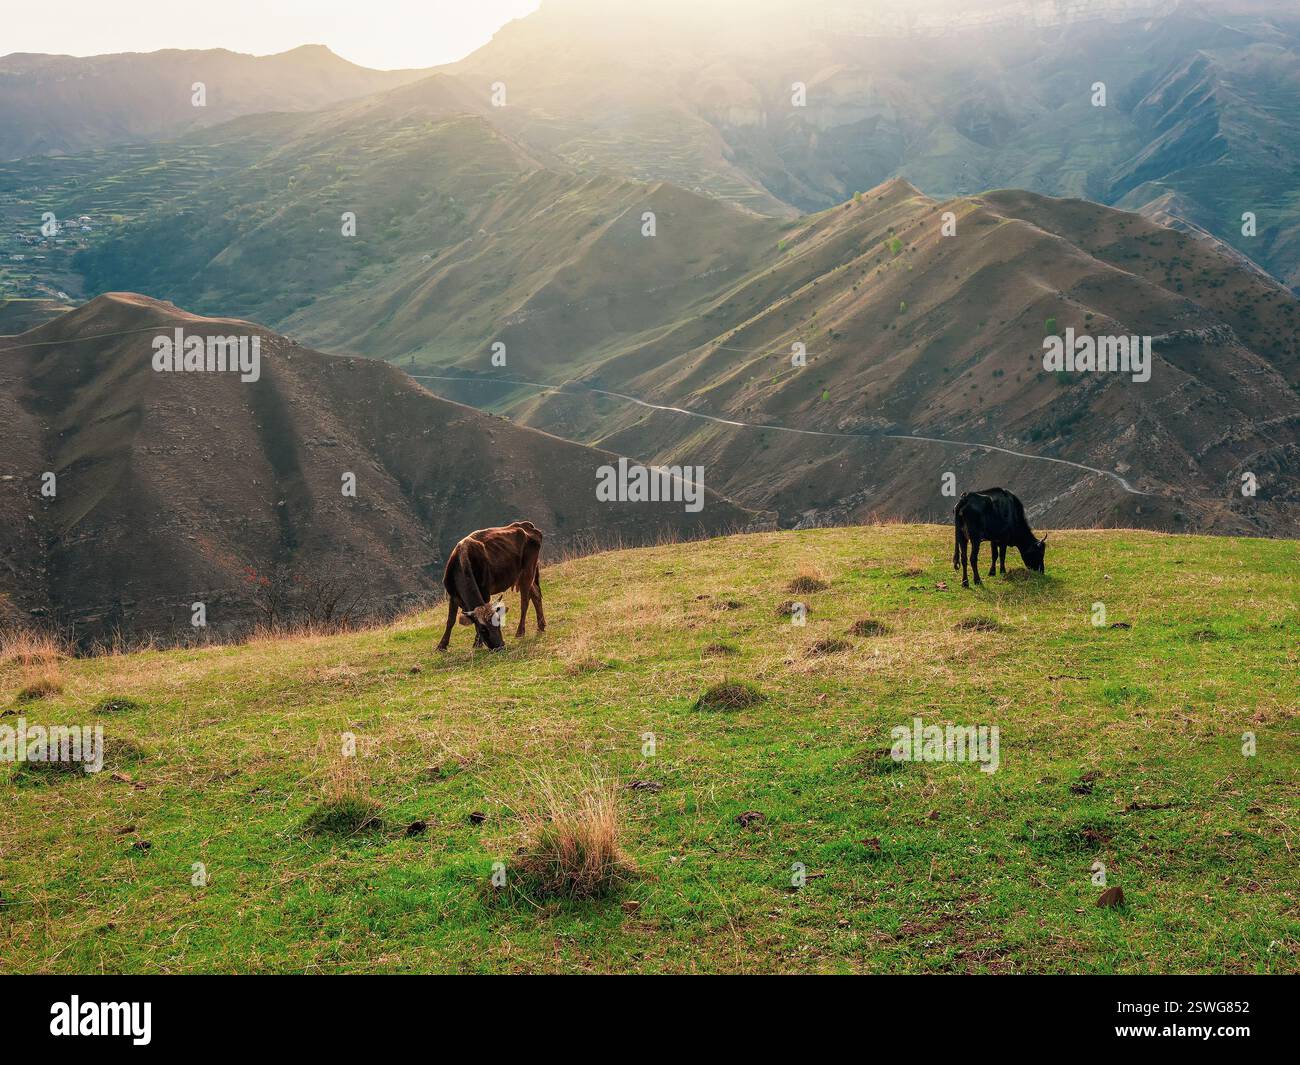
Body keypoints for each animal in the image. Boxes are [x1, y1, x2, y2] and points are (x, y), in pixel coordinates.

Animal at [436, 521, 545, 652]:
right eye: (483, 629)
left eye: (498, 622)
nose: (500, 646)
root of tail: (525, 525)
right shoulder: (453, 596)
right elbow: (450, 620)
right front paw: (441, 645)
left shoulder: (485, 592)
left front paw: (477, 643)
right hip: (526, 576)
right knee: (536, 595)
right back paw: (541, 626)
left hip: (527, 572)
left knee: (525, 602)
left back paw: (520, 632)